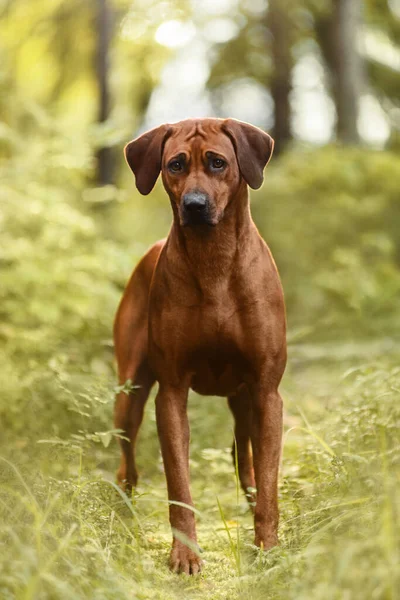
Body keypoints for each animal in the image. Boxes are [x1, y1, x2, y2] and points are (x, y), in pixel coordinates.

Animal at [114, 116, 286, 572]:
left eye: (217, 162)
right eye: (175, 164)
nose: (193, 205)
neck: (215, 261)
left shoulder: (267, 391)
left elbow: (269, 482)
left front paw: (268, 546)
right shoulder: (171, 392)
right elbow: (179, 485)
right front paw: (185, 553)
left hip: (245, 397)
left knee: (245, 454)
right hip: (129, 390)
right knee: (127, 457)